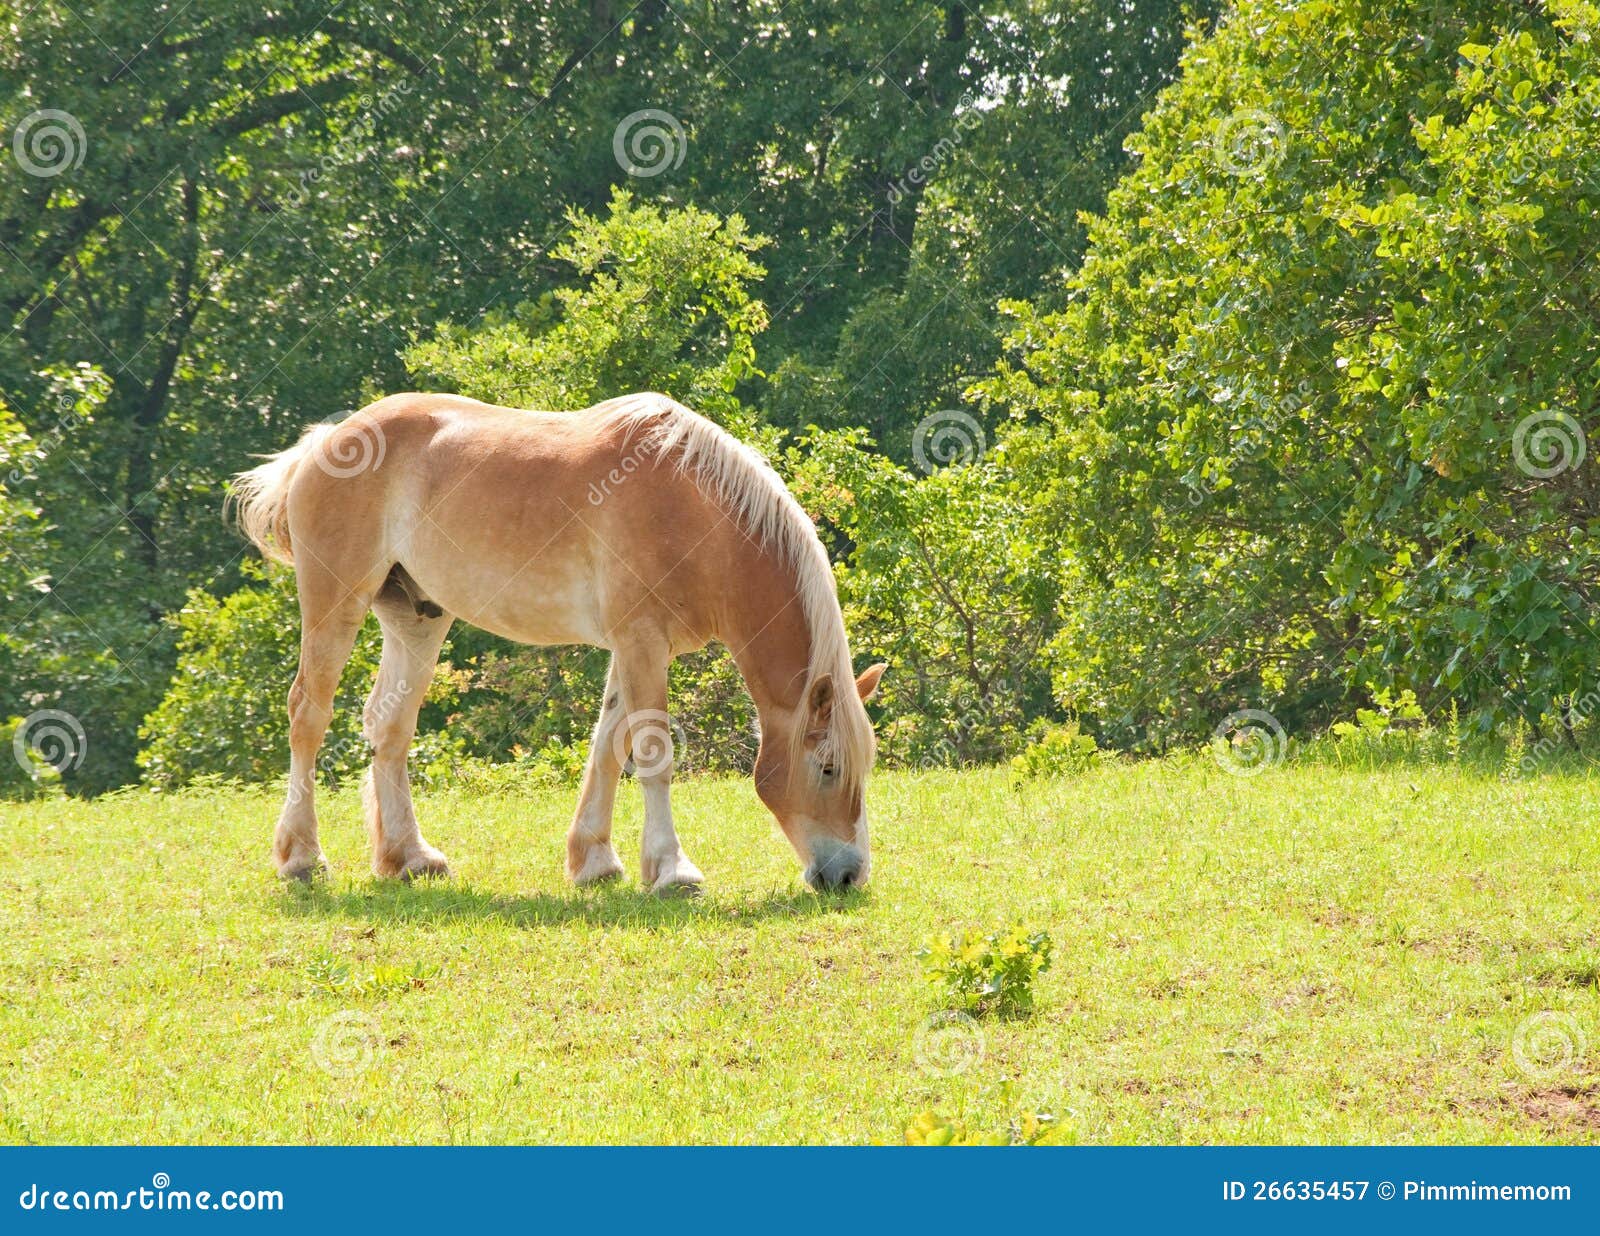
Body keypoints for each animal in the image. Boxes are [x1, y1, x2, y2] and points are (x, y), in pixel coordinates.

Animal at [229, 391, 886, 894]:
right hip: (335, 603)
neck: (699, 513)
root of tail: (327, 440)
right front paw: (672, 870)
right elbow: (652, 754)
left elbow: (609, 745)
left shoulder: (635, 648)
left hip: (416, 617)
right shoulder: (641, 642)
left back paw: (409, 858)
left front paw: (594, 860)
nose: (849, 874)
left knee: (389, 726)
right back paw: (301, 858)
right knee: (308, 716)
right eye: (828, 767)